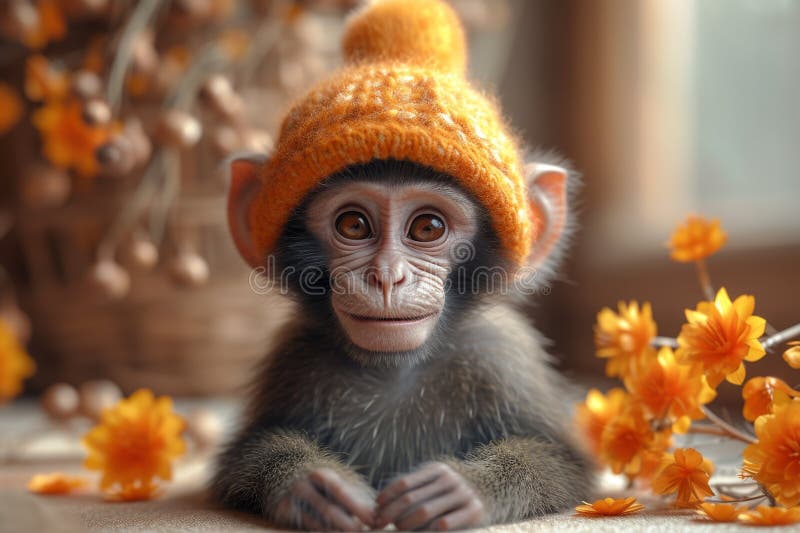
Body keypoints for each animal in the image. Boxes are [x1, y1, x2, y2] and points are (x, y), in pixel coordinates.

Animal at [211, 0, 592, 529]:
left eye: (427, 227)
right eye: (353, 224)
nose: (388, 277)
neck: (394, 370)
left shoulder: (503, 357)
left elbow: (566, 466)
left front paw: (463, 490)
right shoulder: (292, 358)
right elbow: (239, 464)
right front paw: (311, 486)